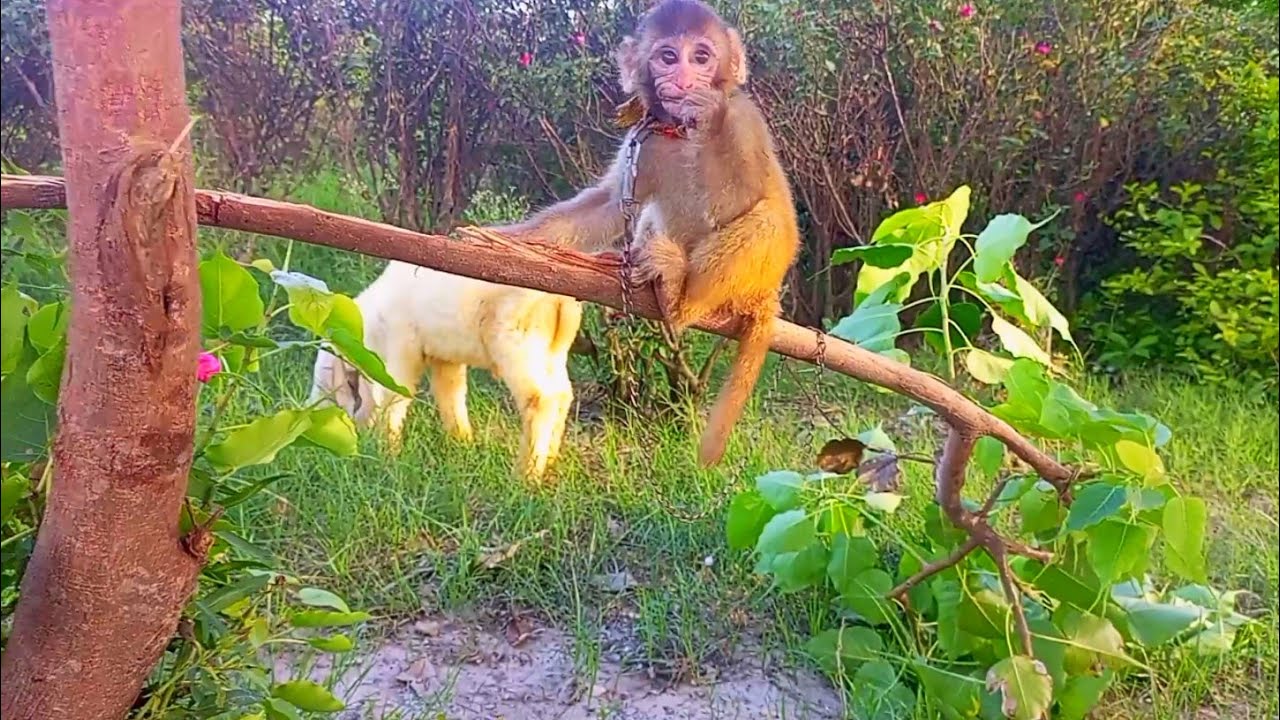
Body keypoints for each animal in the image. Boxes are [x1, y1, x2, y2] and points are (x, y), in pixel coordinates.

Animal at [308, 261, 582, 481]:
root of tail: (561, 300)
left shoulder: (401, 344)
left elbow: (394, 396)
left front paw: (387, 456)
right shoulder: (444, 357)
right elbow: (450, 394)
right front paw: (462, 444)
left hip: (517, 342)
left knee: (540, 399)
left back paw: (525, 476)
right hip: (552, 350)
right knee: (561, 395)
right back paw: (549, 461)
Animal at [483, 0, 799, 468]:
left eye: (701, 57)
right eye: (668, 57)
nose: (683, 80)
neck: (678, 131)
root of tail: (768, 294)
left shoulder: (745, 122)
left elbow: (747, 200)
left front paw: (708, 112)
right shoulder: (646, 141)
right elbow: (612, 206)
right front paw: (508, 241)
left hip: (755, 278)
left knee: (768, 221)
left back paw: (678, 299)